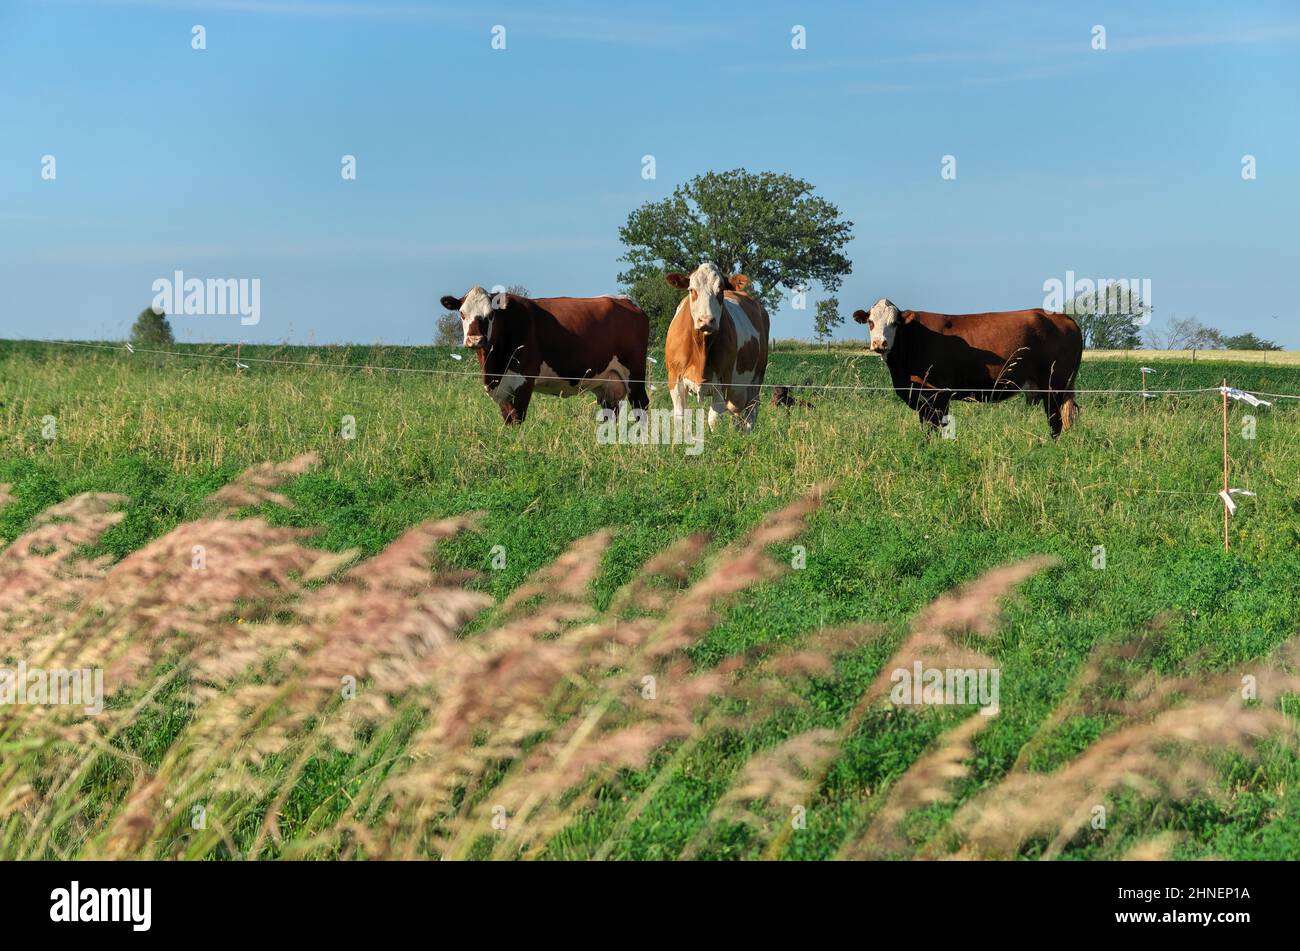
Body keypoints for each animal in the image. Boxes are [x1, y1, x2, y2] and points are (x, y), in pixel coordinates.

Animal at [439, 287, 650, 425]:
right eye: (462, 313)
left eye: (490, 315)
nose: (475, 340)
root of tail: (624, 300)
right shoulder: (500, 389)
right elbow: (508, 419)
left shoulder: (524, 381)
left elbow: (517, 418)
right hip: (607, 383)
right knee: (611, 412)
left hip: (635, 374)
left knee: (641, 405)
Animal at [663, 263, 770, 431]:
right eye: (691, 290)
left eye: (720, 291)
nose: (706, 320)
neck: (701, 348)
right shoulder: (675, 379)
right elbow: (680, 418)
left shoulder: (722, 382)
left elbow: (714, 420)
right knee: (736, 416)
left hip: (755, 380)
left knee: (750, 413)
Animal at [853, 298, 1082, 437]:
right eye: (871, 322)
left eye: (894, 323)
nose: (879, 343)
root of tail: (1063, 317)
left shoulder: (938, 394)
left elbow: (934, 429)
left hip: (1054, 386)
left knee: (1056, 422)